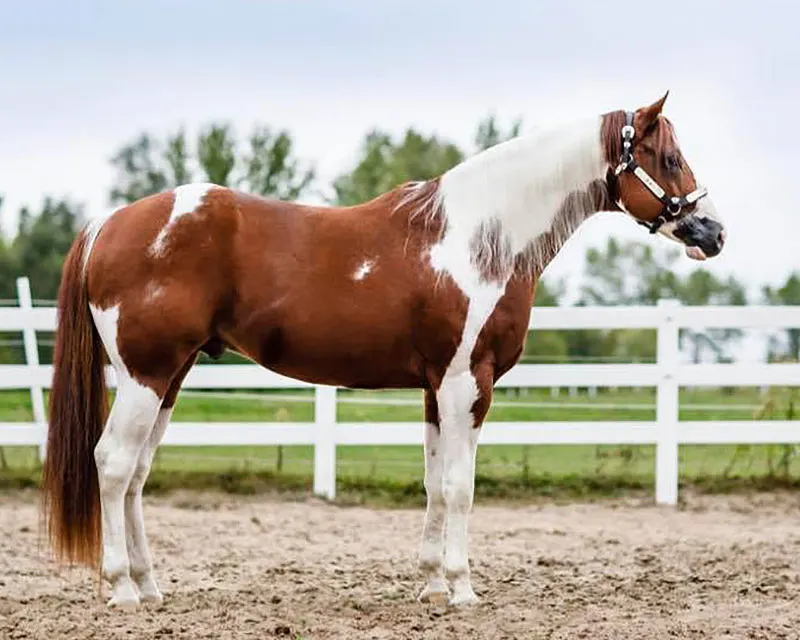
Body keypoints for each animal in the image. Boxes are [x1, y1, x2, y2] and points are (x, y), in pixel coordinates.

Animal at [41, 92, 725, 609]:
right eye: (668, 157)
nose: (713, 233)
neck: (480, 241)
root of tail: (107, 225)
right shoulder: (467, 383)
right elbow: (460, 486)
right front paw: (462, 589)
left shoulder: (435, 388)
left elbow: (433, 483)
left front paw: (431, 585)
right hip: (145, 376)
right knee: (112, 464)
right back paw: (123, 590)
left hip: (169, 378)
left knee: (136, 474)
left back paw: (151, 586)